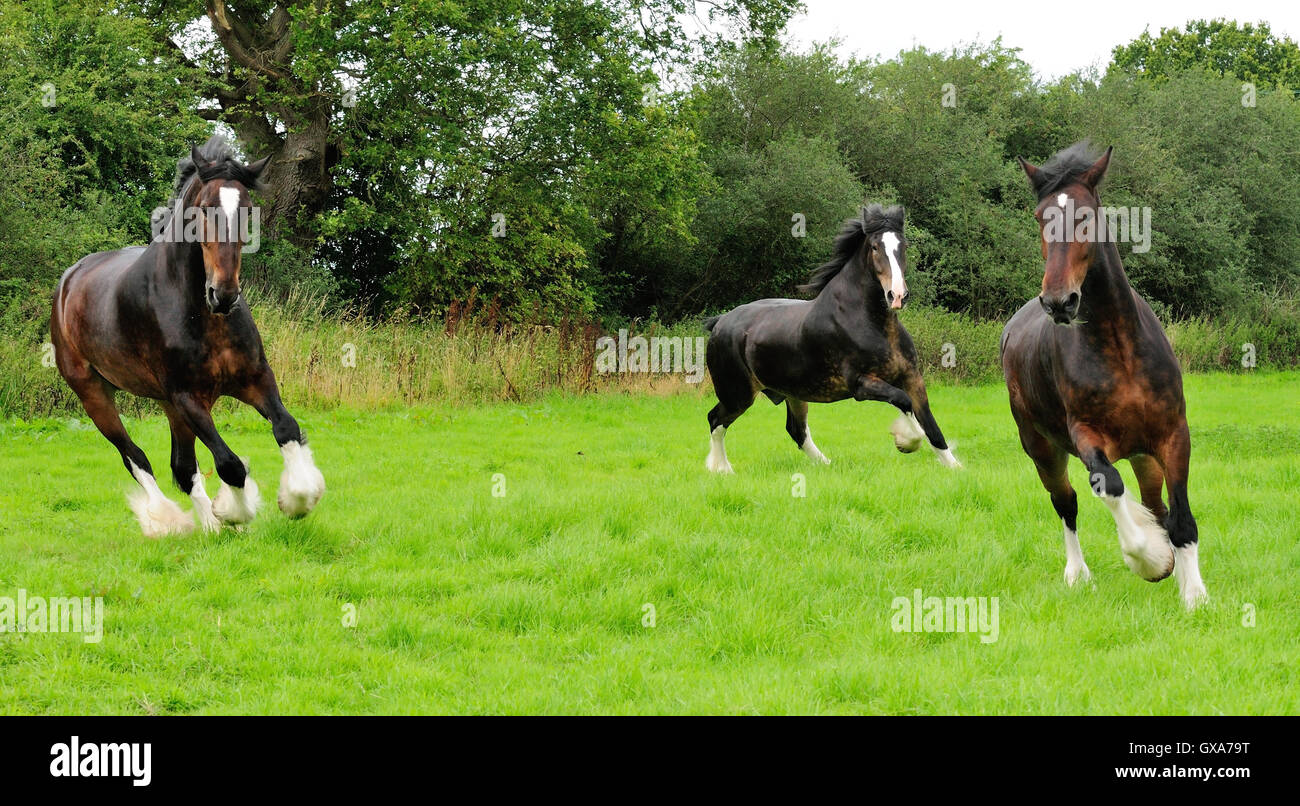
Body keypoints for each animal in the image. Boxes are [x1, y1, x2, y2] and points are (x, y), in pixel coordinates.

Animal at [50, 135, 325, 537]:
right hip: (95, 395)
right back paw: (169, 520)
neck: (202, 314)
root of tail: (70, 280)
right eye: (205, 209)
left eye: (247, 210)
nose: (223, 294)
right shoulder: (188, 396)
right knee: (135, 458)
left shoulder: (254, 377)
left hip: (169, 405)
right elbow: (229, 464)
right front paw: (235, 512)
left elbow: (286, 427)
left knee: (182, 467)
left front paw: (297, 500)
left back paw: (210, 526)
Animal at [702, 204, 961, 474]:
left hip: (793, 394)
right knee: (715, 420)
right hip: (737, 394)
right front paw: (906, 441)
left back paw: (825, 464)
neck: (870, 323)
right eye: (875, 247)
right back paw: (722, 469)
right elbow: (904, 402)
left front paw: (955, 467)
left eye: (904, 245)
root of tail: (720, 321)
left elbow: (930, 424)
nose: (897, 295)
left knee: (796, 430)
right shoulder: (860, 384)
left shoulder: (912, 376)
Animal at [1002, 142, 1207, 609]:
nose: (1059, 301)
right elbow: (1110, 488)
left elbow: (1180, 516)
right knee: (1067, 504)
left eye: (1085, 216)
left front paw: (1194, 594)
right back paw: (1077, 573)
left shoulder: (1173, 434)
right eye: (1040, 217)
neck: (1119, 347)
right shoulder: (1087, 437)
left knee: (1155, 503)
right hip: (1042, 449)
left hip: (1144, 455)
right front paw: (1151, 560)